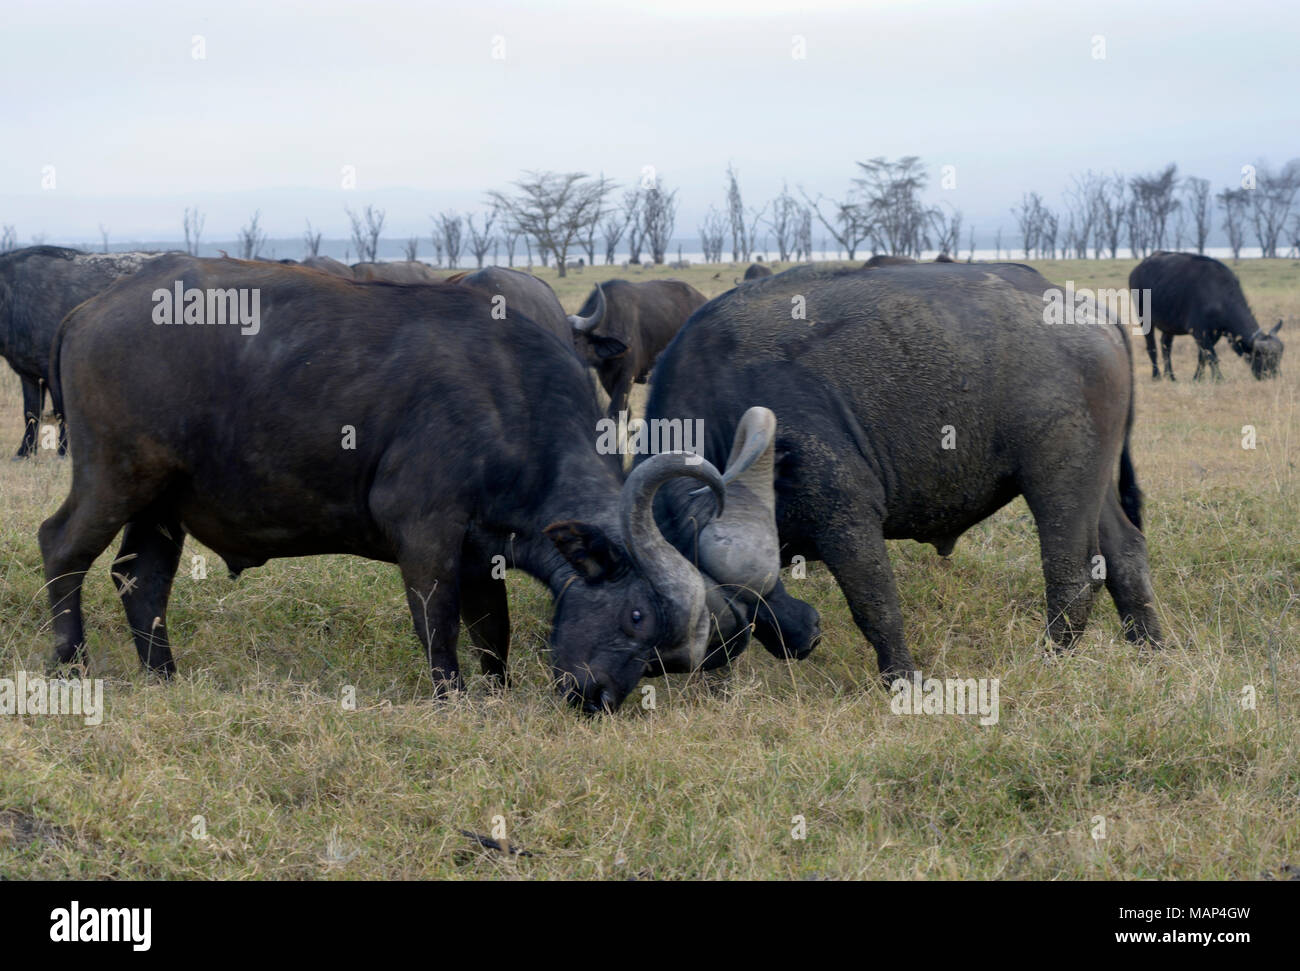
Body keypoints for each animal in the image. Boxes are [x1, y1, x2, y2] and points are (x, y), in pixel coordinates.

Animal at [644, 262, 1162, 679]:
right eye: (732, 600)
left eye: (753, 585)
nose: (805, 637)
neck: (725, 400)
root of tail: (1094, 315)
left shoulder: (846, 520)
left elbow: (876, 606)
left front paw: (903, 682)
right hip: (1096, 481)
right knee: (1125, 554)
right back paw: (1151, 649)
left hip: (1058, 479)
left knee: (1073, 576)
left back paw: (1050, 662)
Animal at [1131, 252, 1284, 380]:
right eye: (1261, 356)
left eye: (1278, 358)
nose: (1274, 376)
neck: (1219, 296)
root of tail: (1136, 270)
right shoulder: (1199, 332)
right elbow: (1212, 356)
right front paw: (1219, 379)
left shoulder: (1214, 334)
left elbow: (1203, 356)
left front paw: (1197, 378)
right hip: (1145, 320)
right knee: (1152, 347)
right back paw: (1156, 376)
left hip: (1169, 325)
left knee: (1166, 346)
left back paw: (1171, 377)